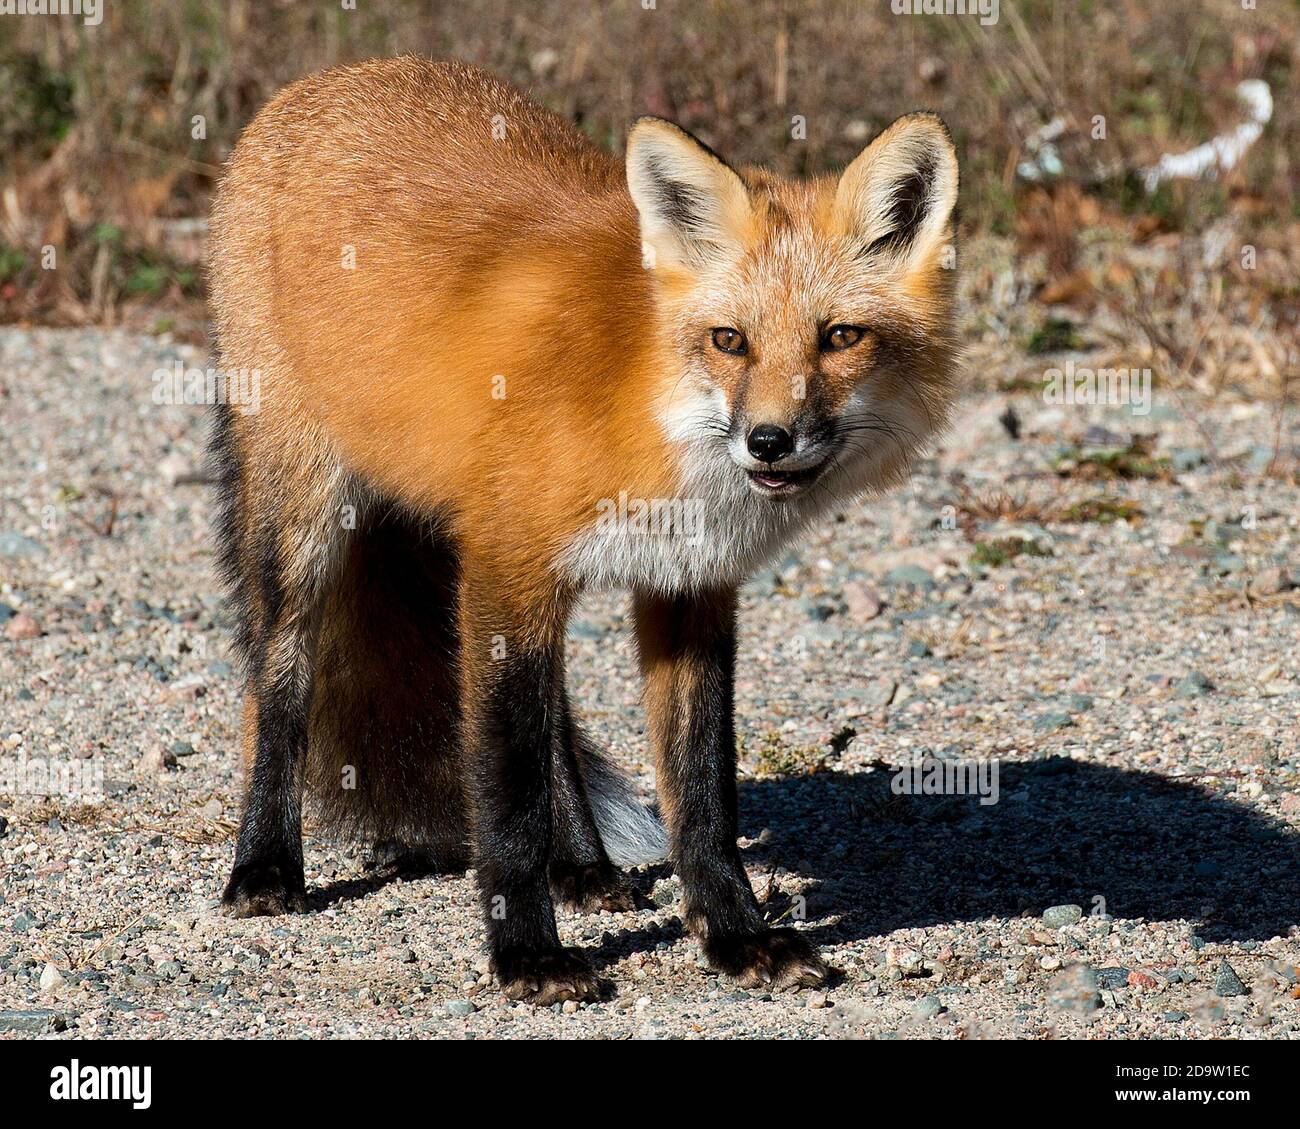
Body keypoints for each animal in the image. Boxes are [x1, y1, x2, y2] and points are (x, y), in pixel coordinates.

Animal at [207, 56, 959, 1005]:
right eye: (730, 340)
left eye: (840, 337)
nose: (769, 439)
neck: (648, 406)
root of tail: (331, 78)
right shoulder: (507, 565)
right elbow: (506, 793)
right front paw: (527, 954)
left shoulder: (685, 586)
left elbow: (701, 790)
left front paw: (736, 937)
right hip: (305, 516)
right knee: (279, 675)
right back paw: (266, 864)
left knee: (554, 717)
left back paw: (585, 867)